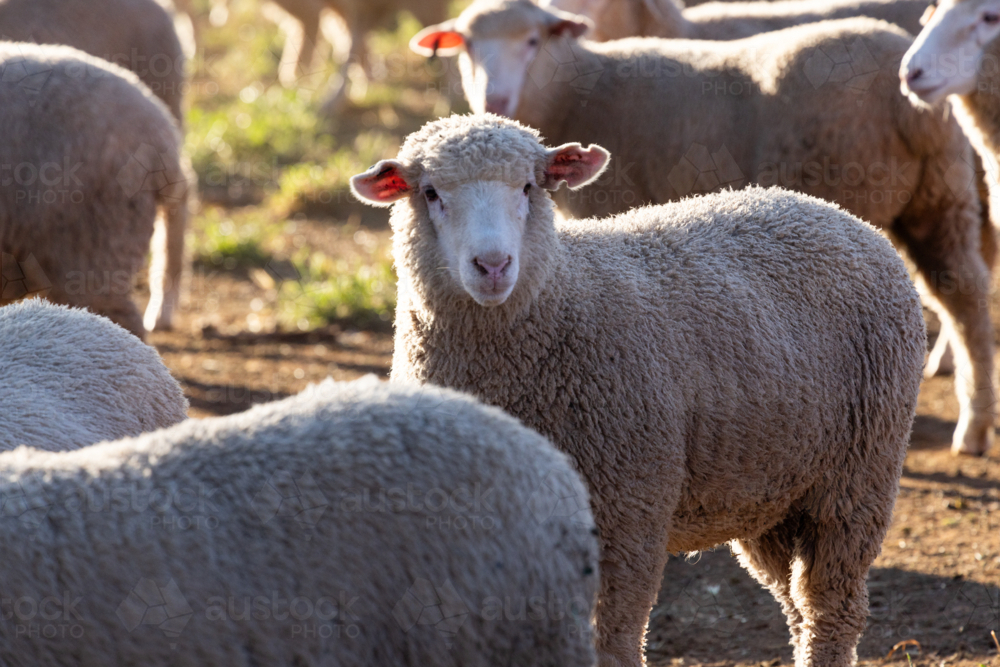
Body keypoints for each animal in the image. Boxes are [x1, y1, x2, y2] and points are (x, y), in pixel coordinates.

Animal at [349, 114, 927, 667]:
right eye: (429, 193)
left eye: (529, 186)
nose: (492, 266)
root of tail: (840, 216)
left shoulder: (628, 513)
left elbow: (615, 645)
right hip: (770, 491)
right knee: (797, 608)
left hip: (858, 476)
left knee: (831, 609)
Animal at [411, 3, 997, 457]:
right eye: (465, 47)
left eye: (532, 41)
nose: (494, 101)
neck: (584, 88)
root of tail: (907, 102)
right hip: (939, 194)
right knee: (964, 292)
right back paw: (973, 418)